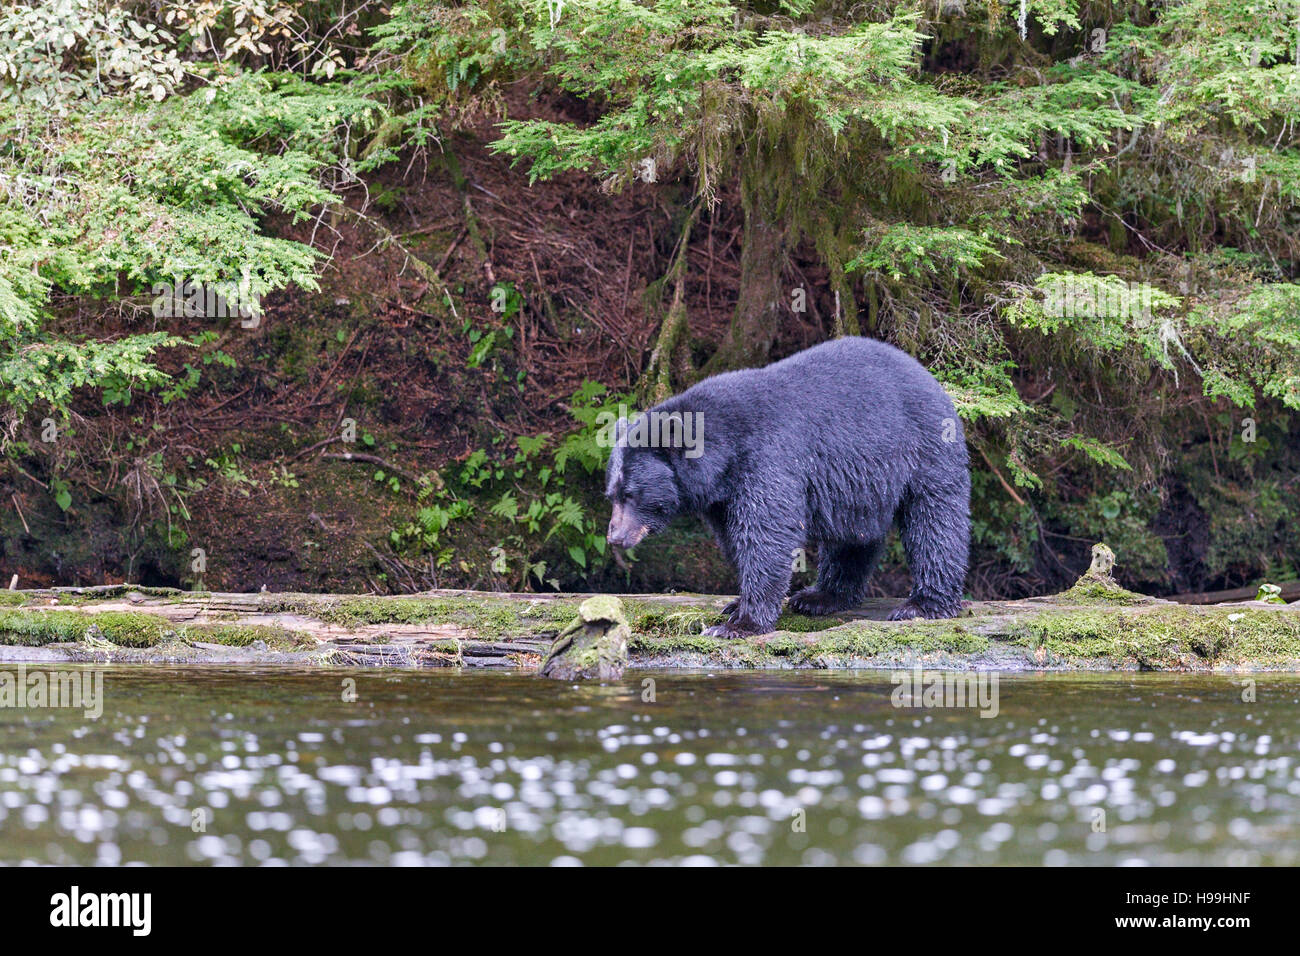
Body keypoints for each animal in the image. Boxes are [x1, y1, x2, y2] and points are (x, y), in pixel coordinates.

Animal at [604, 336, 970, 638]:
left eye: (632, 494)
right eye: (612, 494)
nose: (615, 537)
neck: (725, 454)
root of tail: (930, 378)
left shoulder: (768, 461)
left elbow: (766, 535)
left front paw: (739, 624)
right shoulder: (723, 496)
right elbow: (734, 538)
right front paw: (736, 604)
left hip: (924, 450)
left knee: (935, 521)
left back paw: (923, 605)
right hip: (860, 486)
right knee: (854, 537)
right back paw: (821, 596)